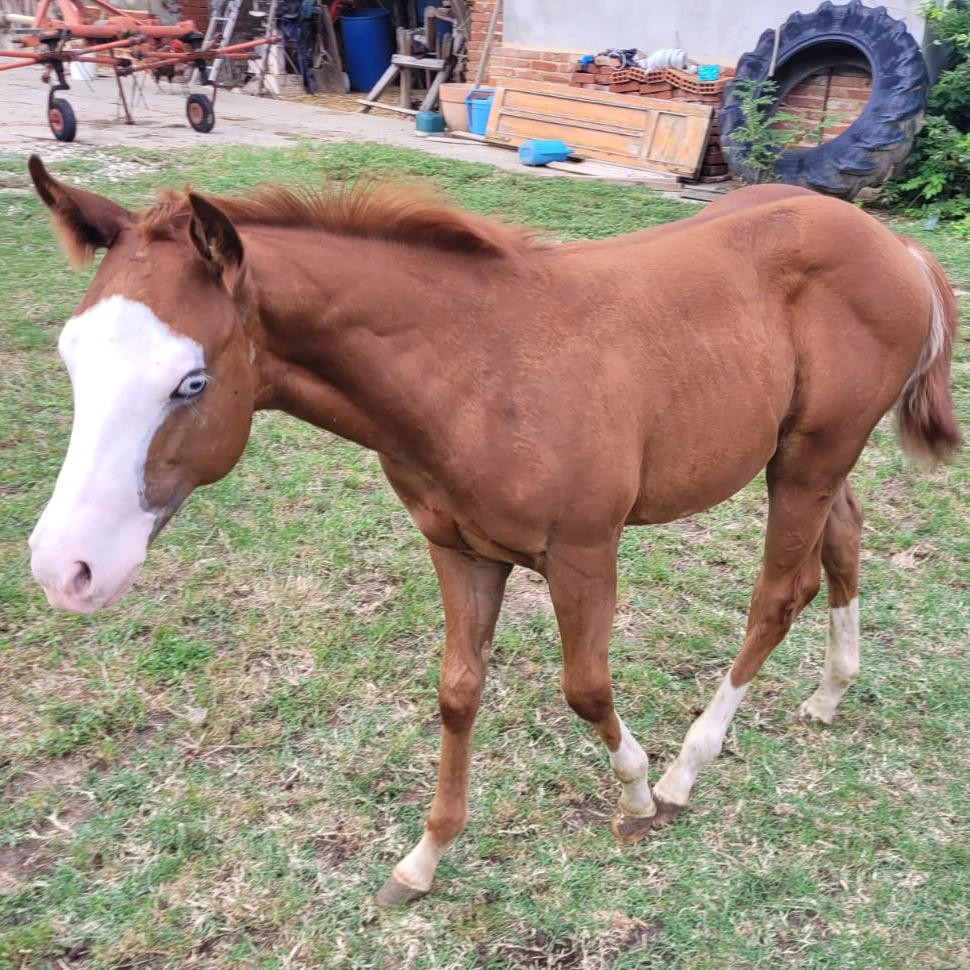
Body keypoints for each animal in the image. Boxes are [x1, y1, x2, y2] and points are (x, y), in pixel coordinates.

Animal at [26, 155, 960, 906]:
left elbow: (585, 687)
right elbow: (458, 692)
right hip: (812, 458)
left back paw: (687, 771)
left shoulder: (585, 552)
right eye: (69, 357)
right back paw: (831, 692)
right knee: (844, 538)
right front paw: (423, 859)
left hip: (809, 459)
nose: (63, 567)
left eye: (190, 382)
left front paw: (635, 797)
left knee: (779, 592)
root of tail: (897, 246)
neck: (470, 369)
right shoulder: (458, 549)